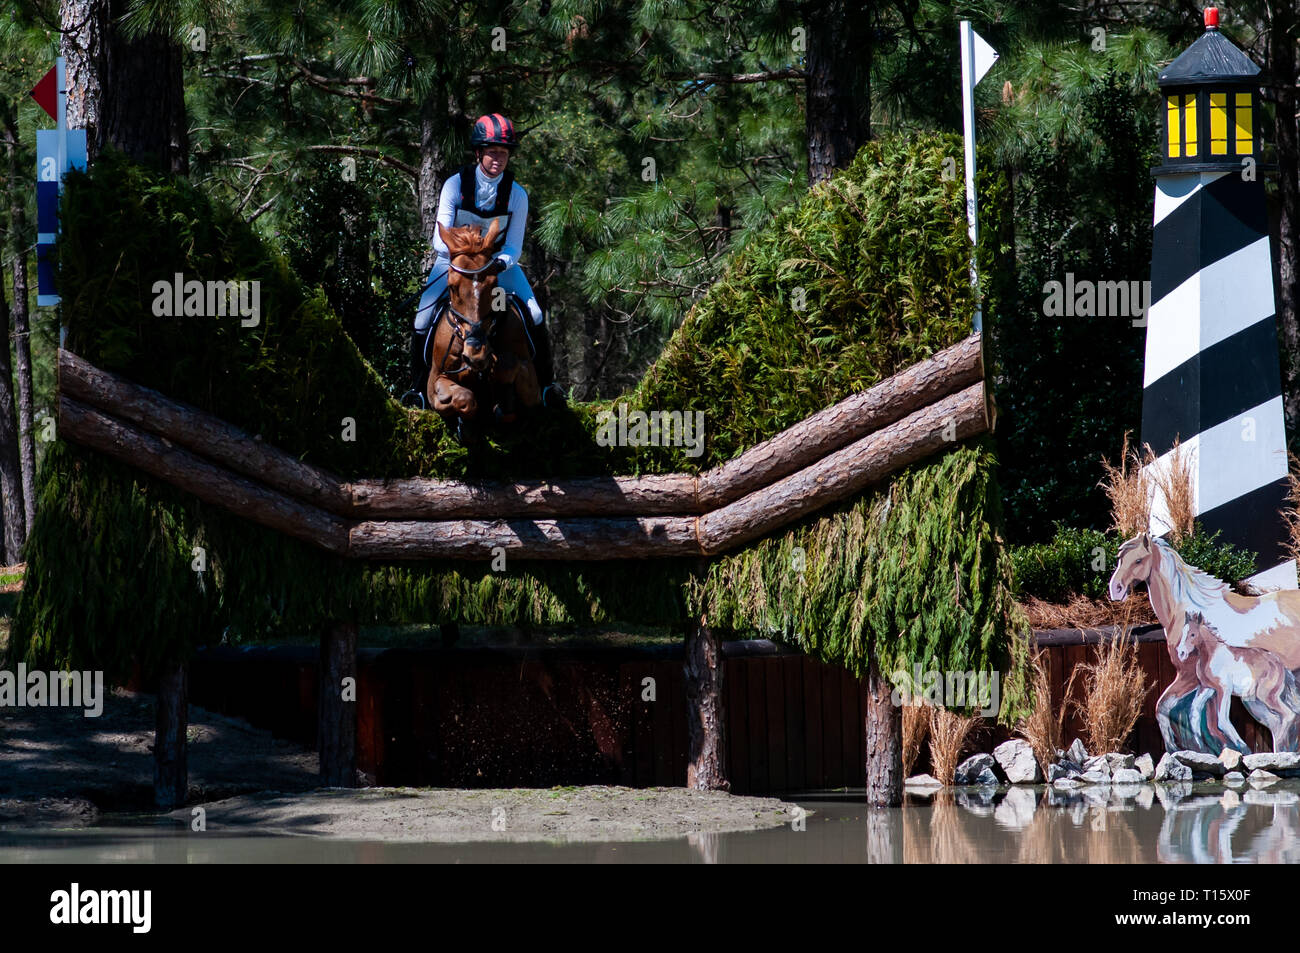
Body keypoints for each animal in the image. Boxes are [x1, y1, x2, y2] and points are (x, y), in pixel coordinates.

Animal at [426, 218, 540, 430]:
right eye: (452, 287)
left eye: (494, 285)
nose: (475, 354)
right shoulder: (436, 380)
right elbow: (463, 397)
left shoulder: (532, 387)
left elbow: (508, 365)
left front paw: (502, 404)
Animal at [1179, 611, 1300, 754]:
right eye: (1182, 632)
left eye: (1192, 634)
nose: (1181, 653)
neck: (1211, 656)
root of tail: (1281, 665)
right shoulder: (1206, 688)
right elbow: (1194, 712)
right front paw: (1200, 747)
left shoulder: (1224, 689)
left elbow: (1222, 720)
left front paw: (1244, 748)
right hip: (1253, 702)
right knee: (1275, 722)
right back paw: (1279, 750)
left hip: (1267, 696)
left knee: (1288, 715)